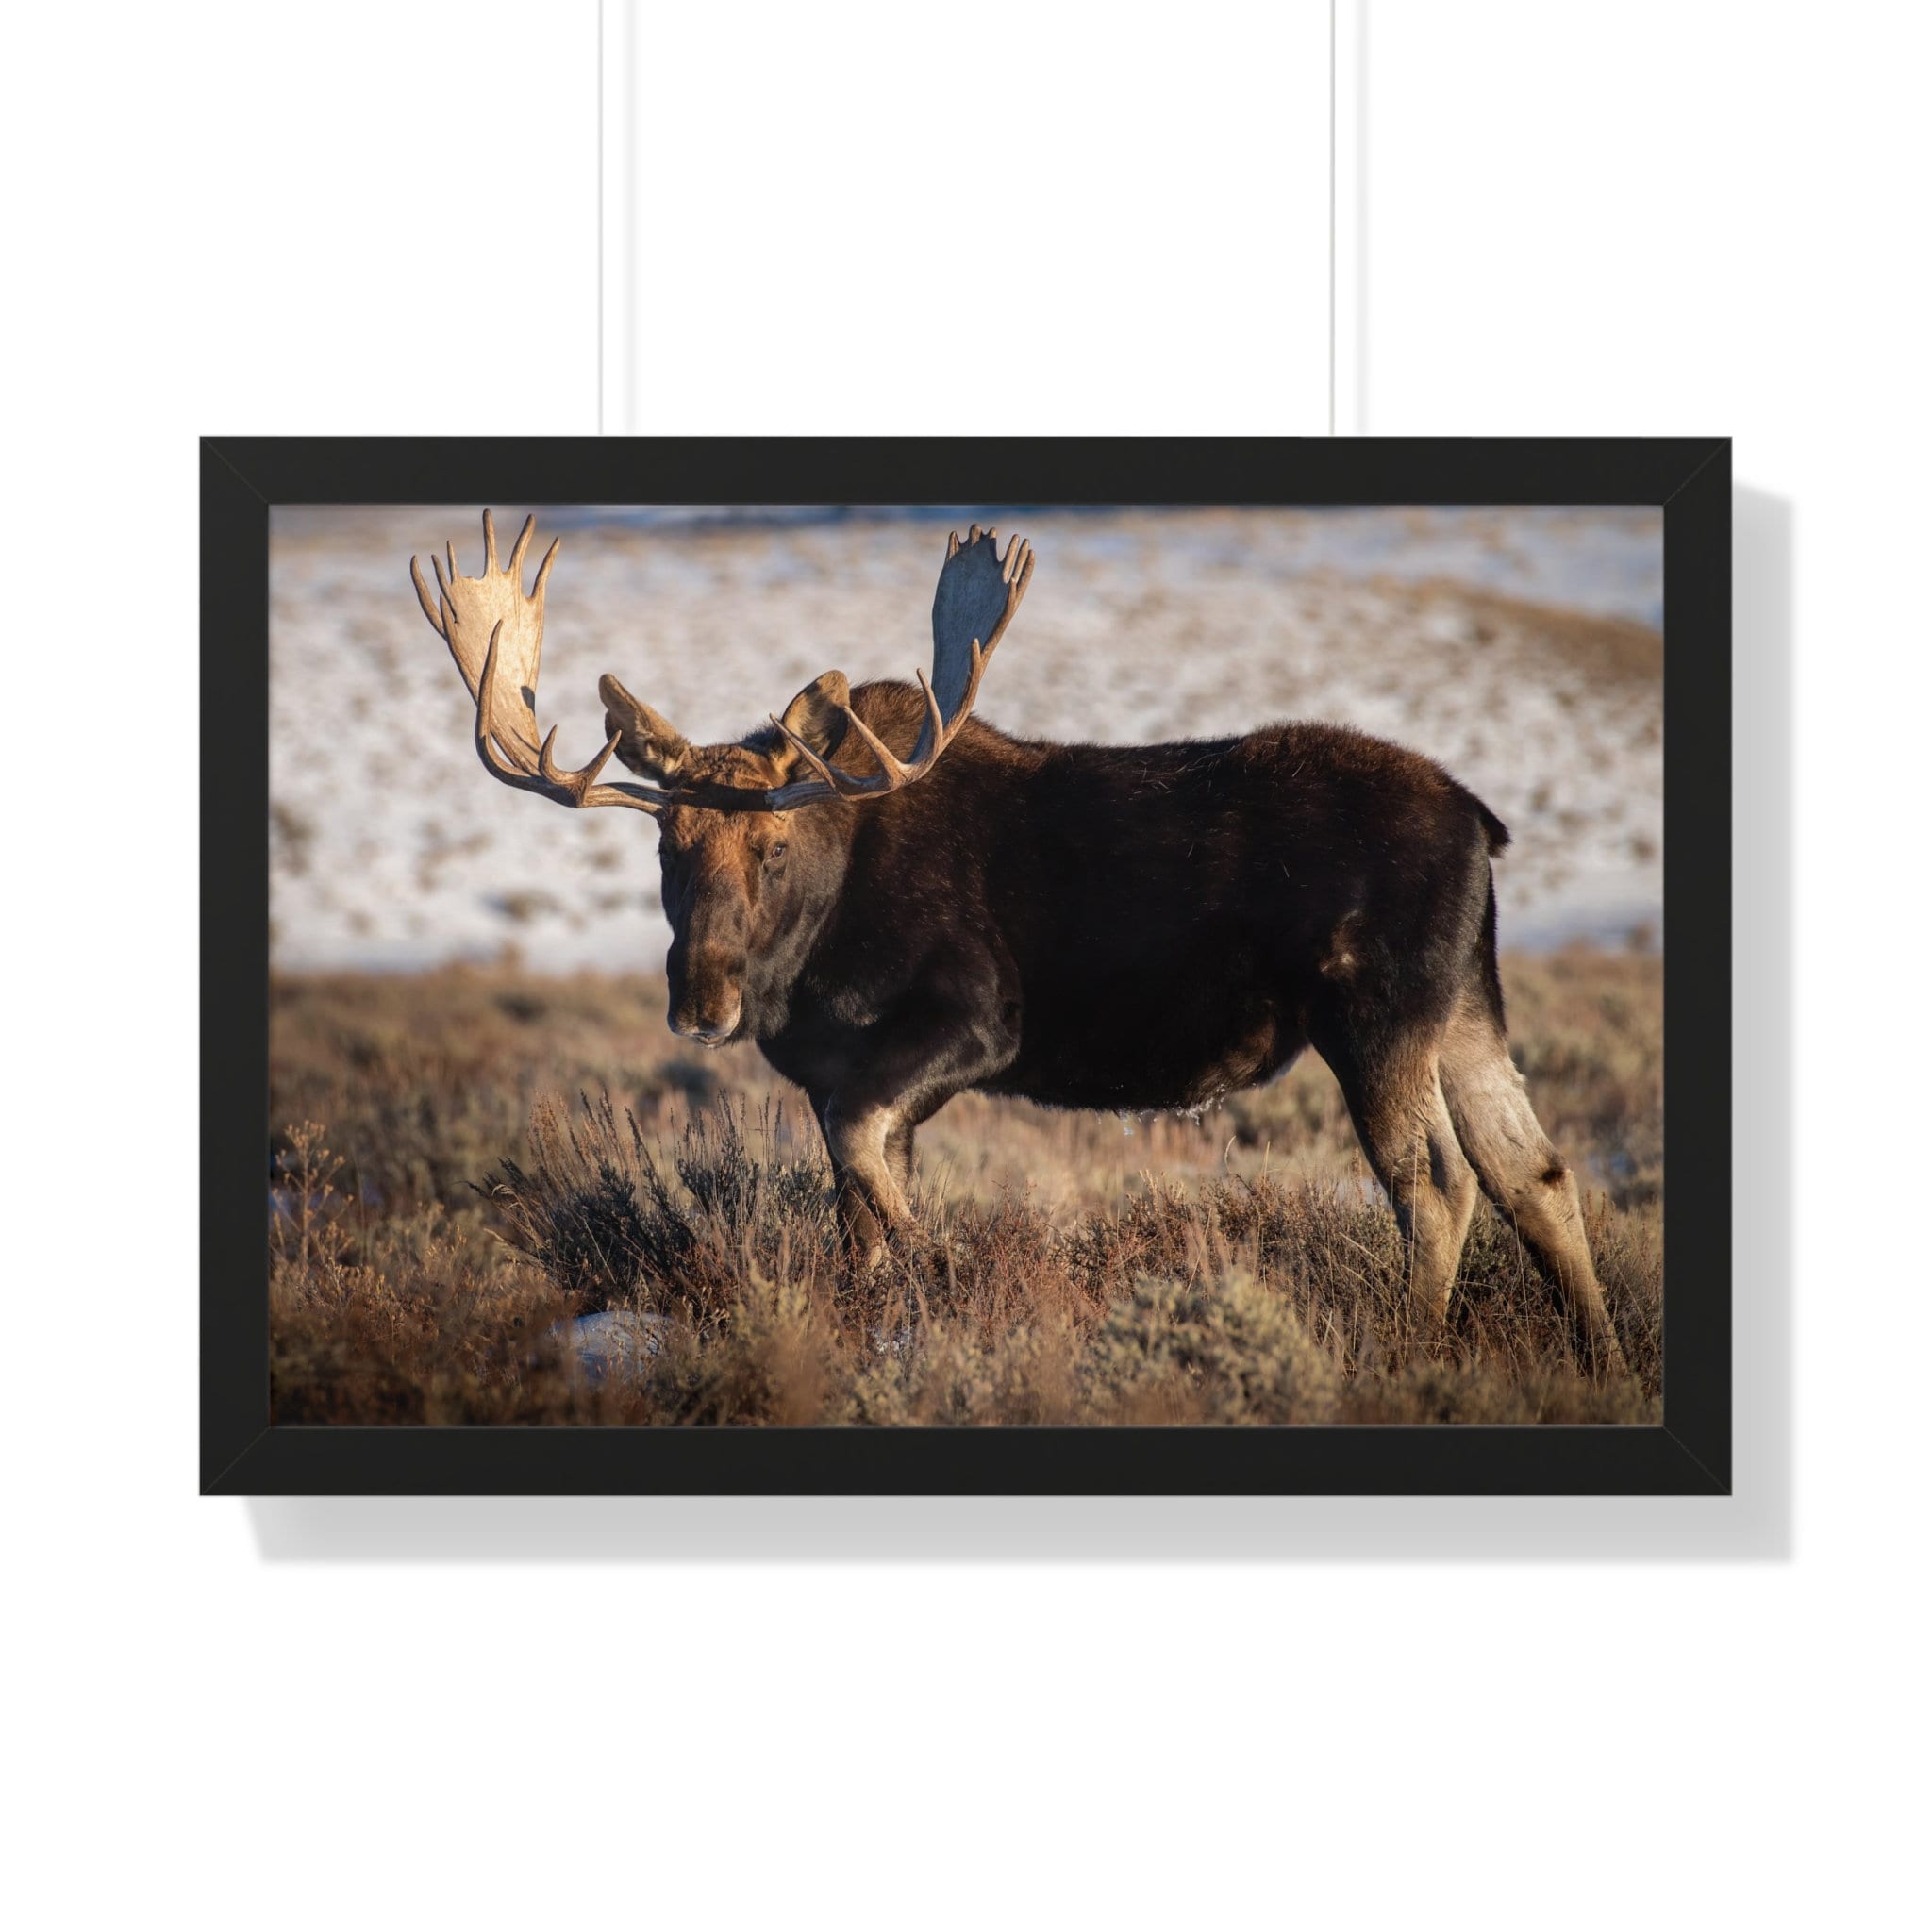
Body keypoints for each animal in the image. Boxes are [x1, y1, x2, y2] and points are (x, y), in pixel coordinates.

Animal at [411, 511, 1627, 1373]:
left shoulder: (973, 1020)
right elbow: (852, 1205)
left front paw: (960, 1274)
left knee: (1437, 1185)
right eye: (667, 841)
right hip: (1463, 1008)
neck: (805, 957)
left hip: (1374, 1014)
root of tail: (1481, 819)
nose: (700, 1000)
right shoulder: (846, 1072)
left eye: (773, 839)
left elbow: (867, 1162)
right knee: (1536, 1171)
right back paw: (1603, 1363)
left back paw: (1409, 1351)